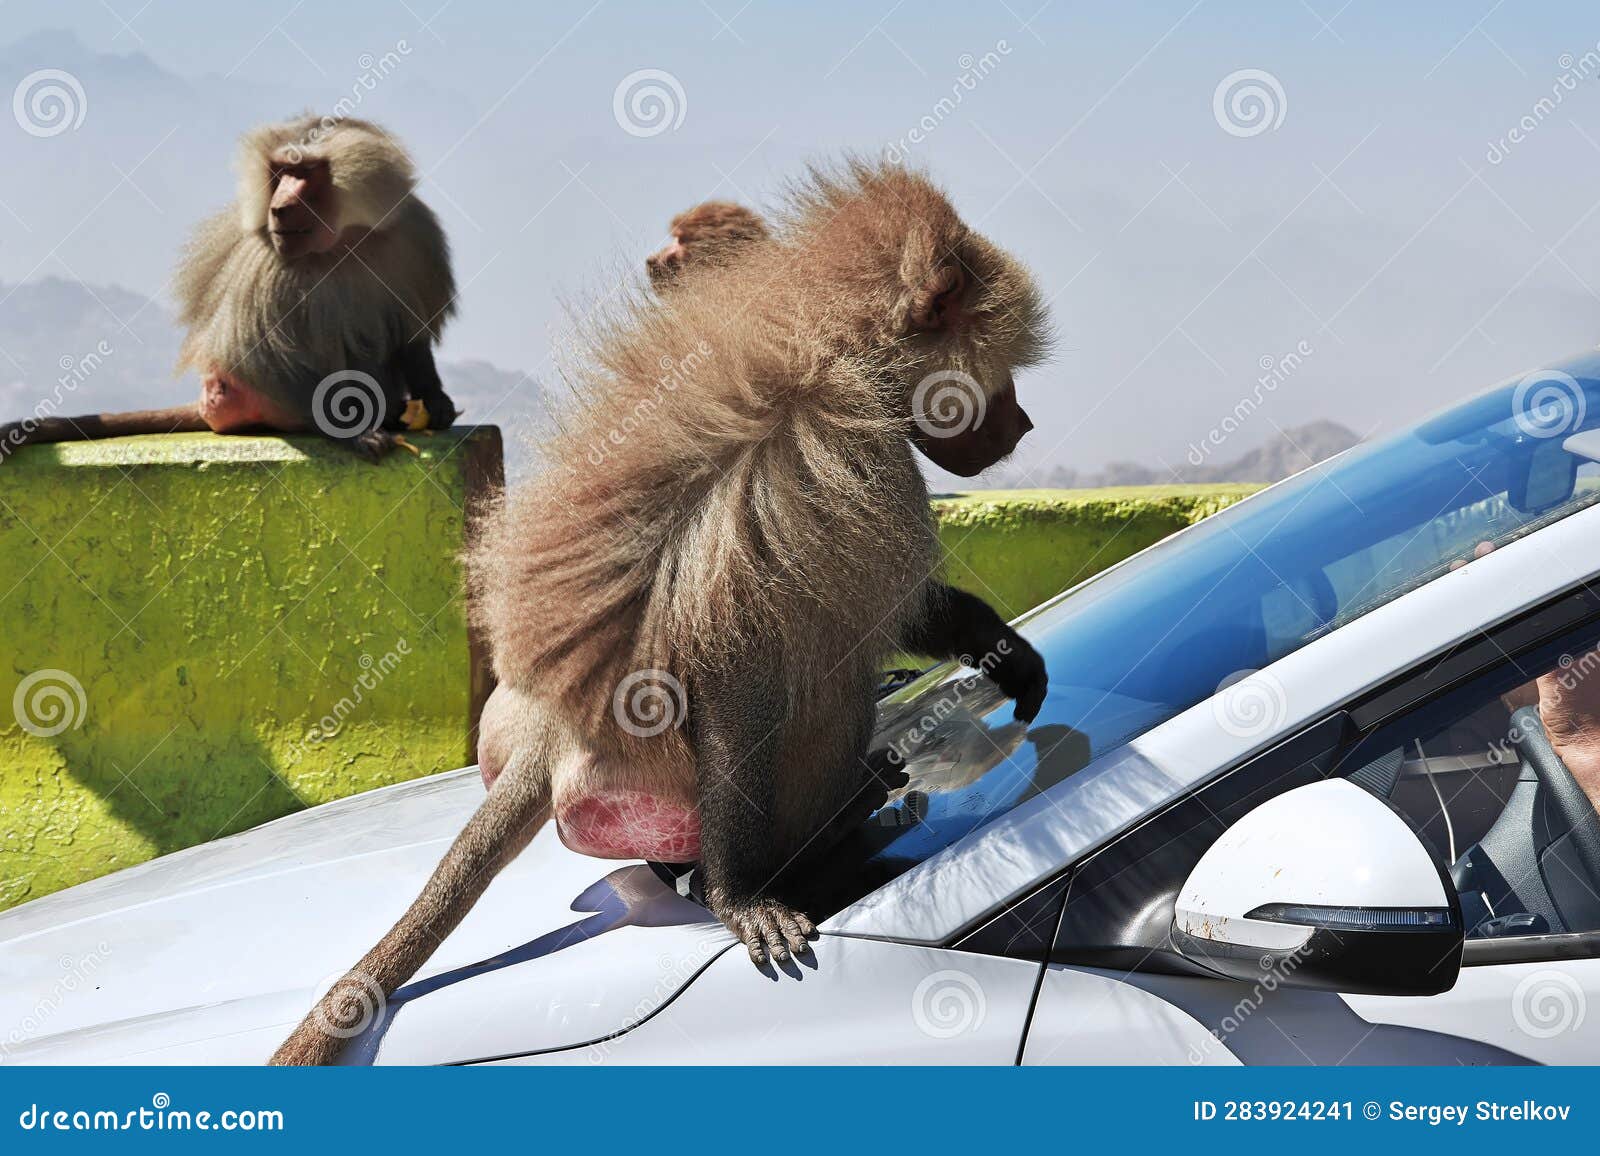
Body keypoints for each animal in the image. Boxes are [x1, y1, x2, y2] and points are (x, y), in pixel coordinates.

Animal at [0, 115, 459, 463]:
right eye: (279, 173)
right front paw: (356, 433)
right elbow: (260, 357)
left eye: (304, 173)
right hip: (244, 397)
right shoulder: (269, 264)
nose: (279, 209)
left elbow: (410, 333)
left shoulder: (412, 236)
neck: (341, 243)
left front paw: (435, 400)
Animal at [271, 162, 1049, 1065]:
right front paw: (738, 896)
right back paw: (809, 833)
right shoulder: (862, 458)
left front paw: (998, 649)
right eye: (1003, 378)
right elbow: (784, 645)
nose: (1024, 420)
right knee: (818, 681)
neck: (839, 339)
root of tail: (552, 733)